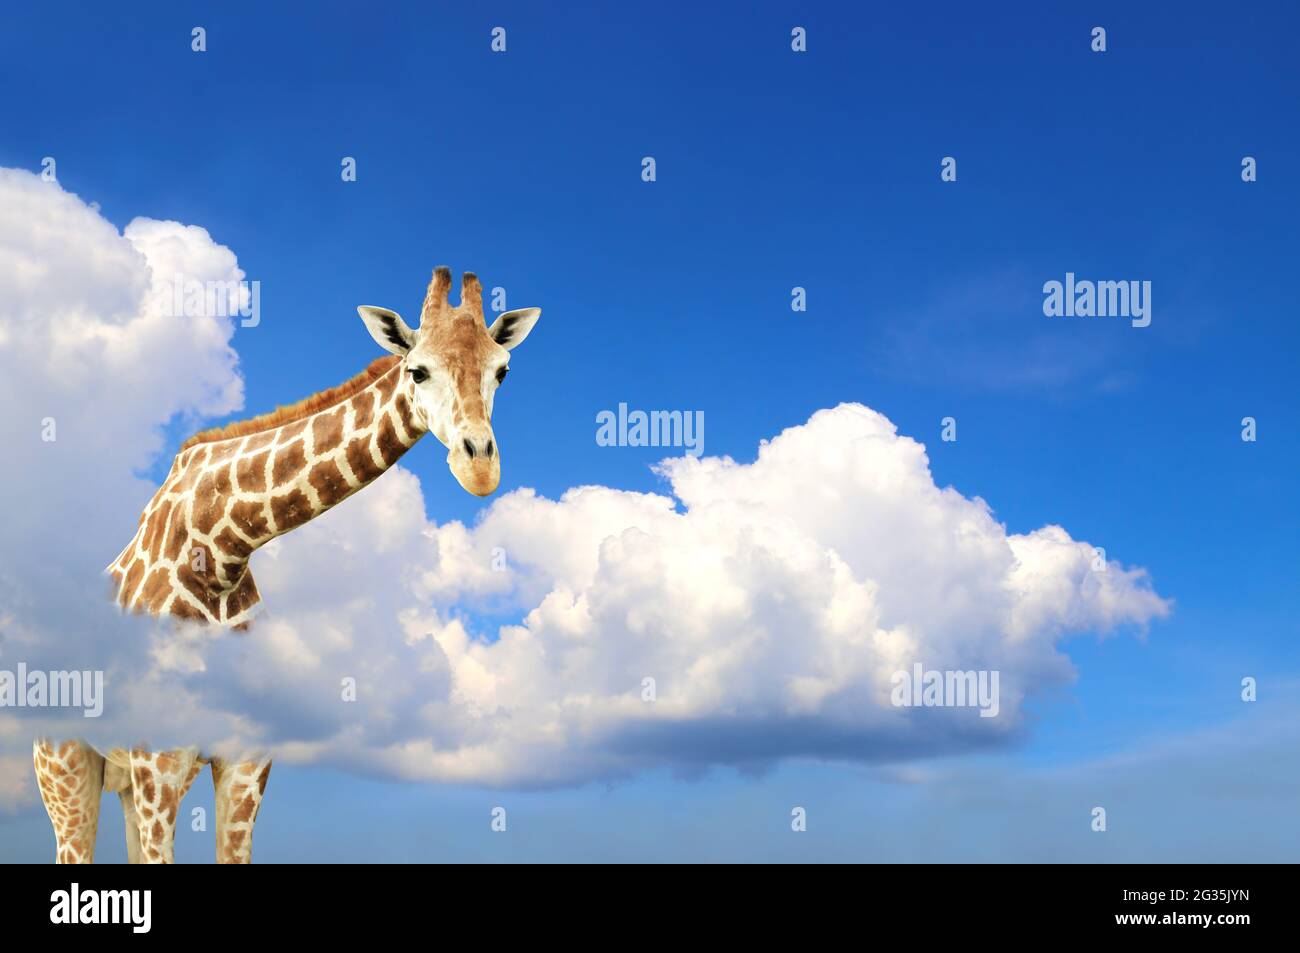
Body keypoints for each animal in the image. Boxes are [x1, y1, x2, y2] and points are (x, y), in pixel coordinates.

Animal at [35, 266, 542, 862]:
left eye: (502, 371)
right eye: (417, 370)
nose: (480, 469)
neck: (221, 548)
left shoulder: (245, 758)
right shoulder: (158, 756)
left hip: (123, 778)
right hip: (66, 767)